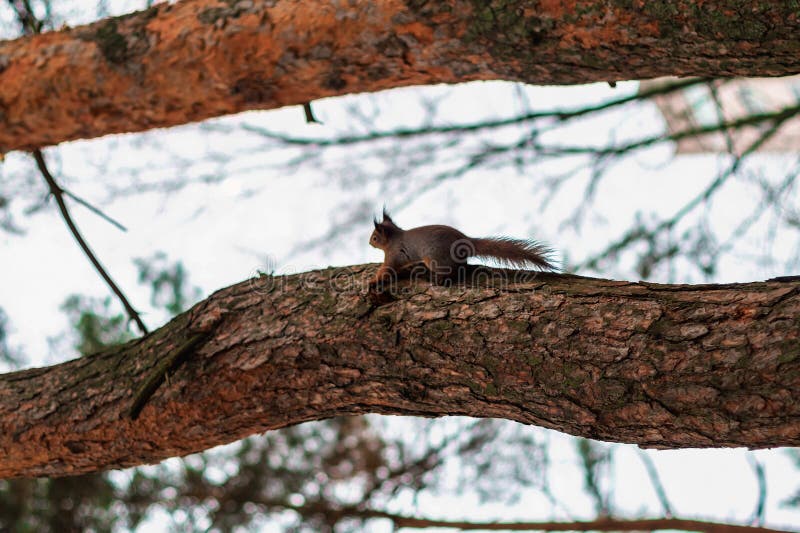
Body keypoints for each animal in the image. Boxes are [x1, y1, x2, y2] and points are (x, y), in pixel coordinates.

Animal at [369, 209, 556, 287]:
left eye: (375, 237)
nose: (370, 243)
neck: (394, 239)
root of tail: (466, 242)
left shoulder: (394, 254)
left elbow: (387, 269)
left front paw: (373, 280)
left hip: (436, 258)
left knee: (451, 271)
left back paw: (440, 279)